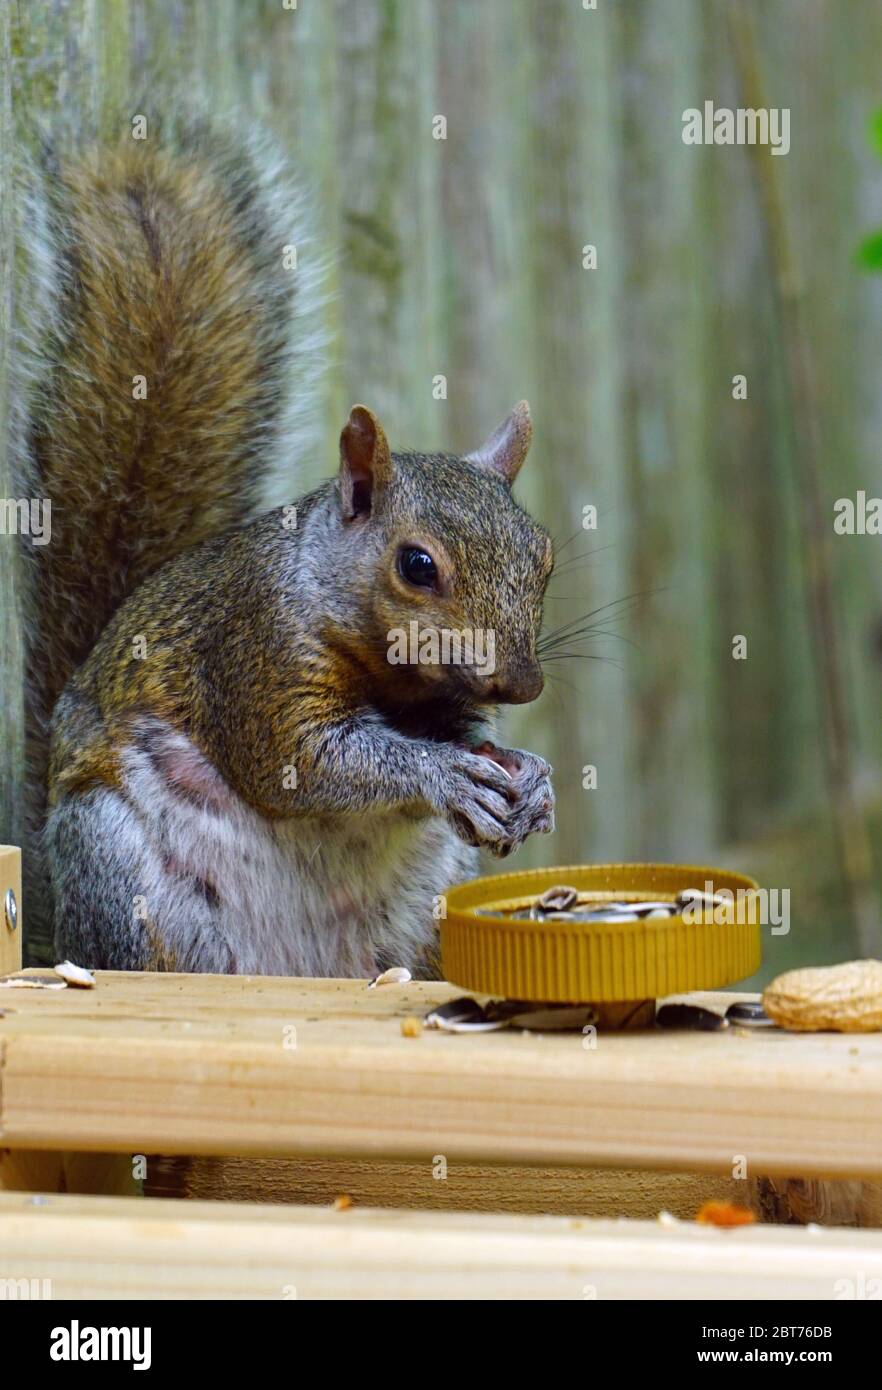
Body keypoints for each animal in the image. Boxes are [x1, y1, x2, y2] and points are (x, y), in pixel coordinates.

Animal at [14, 117, 555, 977]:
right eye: (417, 566)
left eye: (544, 558)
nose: (524, 685)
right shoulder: (257, 654)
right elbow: (304, 761)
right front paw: (444, 775)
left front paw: (531, 779)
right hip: (121, 872)